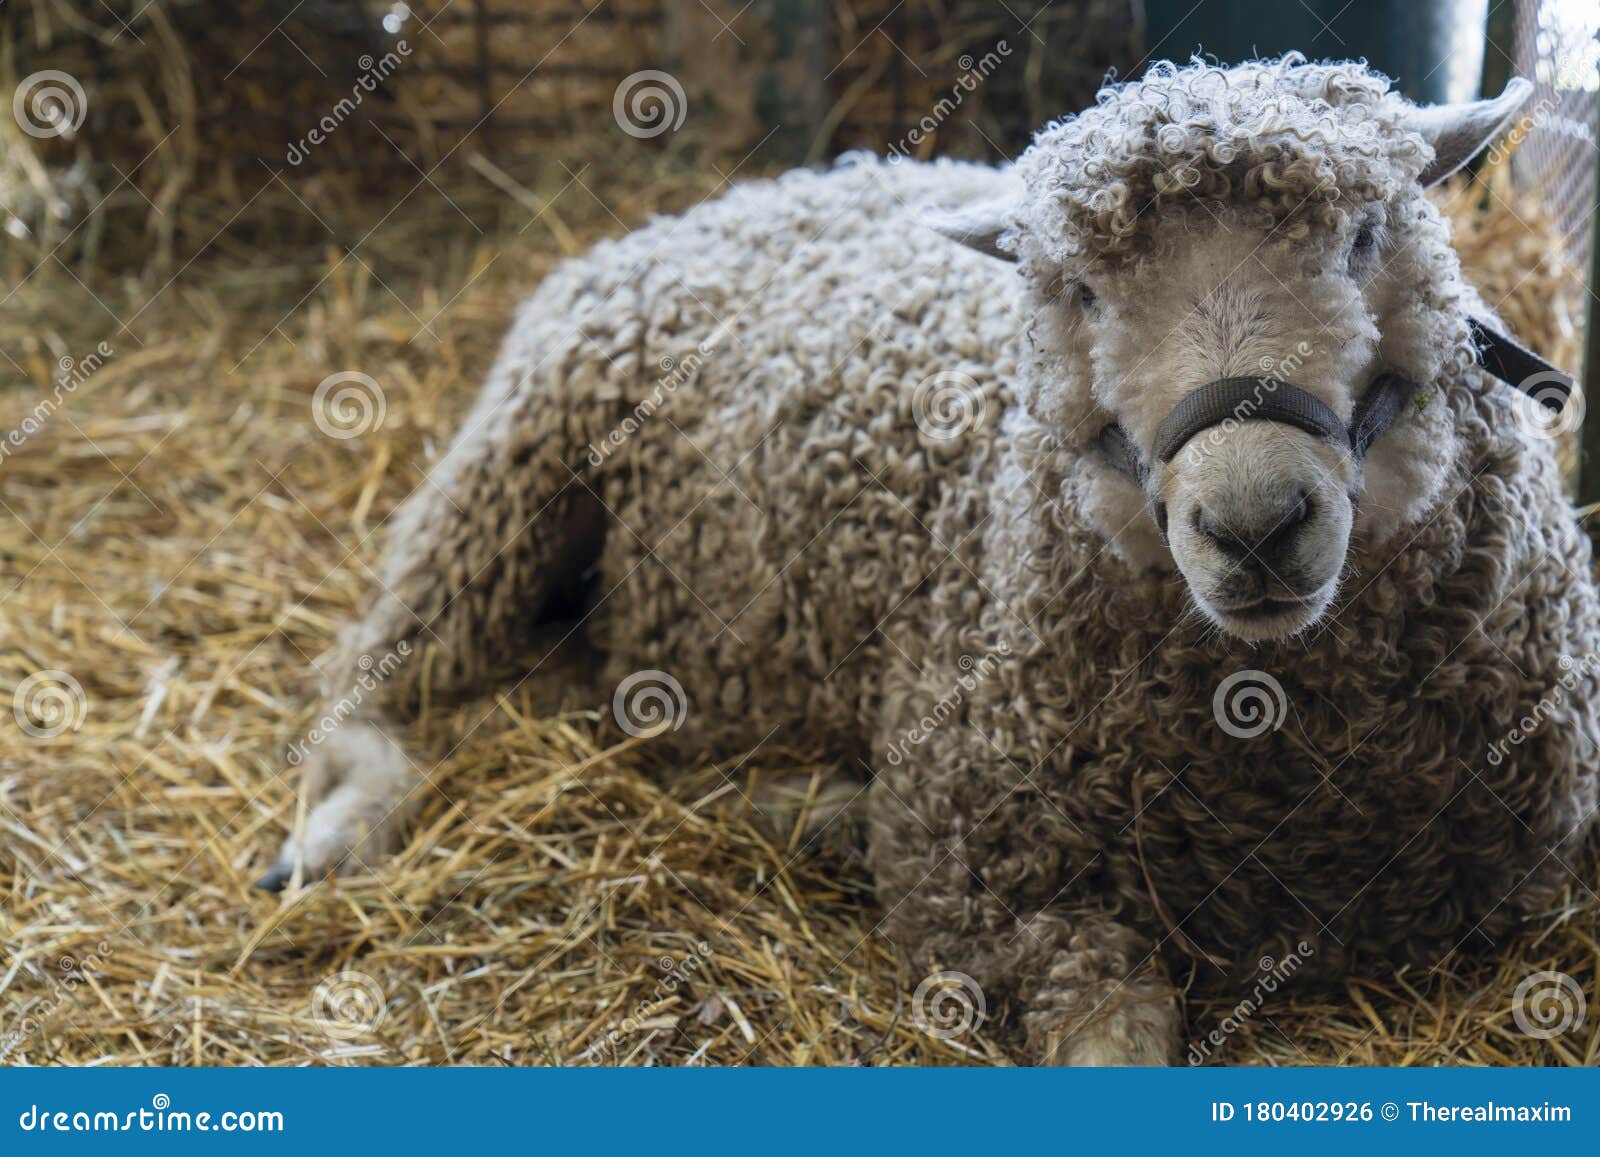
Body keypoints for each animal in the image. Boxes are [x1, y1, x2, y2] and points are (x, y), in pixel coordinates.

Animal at [260, 56, 1600, 1065]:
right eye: (1076, 291)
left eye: (1370, 233)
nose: (1256, 523)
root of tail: (755, 192)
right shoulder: (976, 872)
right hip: (510, 469)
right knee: (370, 677)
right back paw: (336, 835)